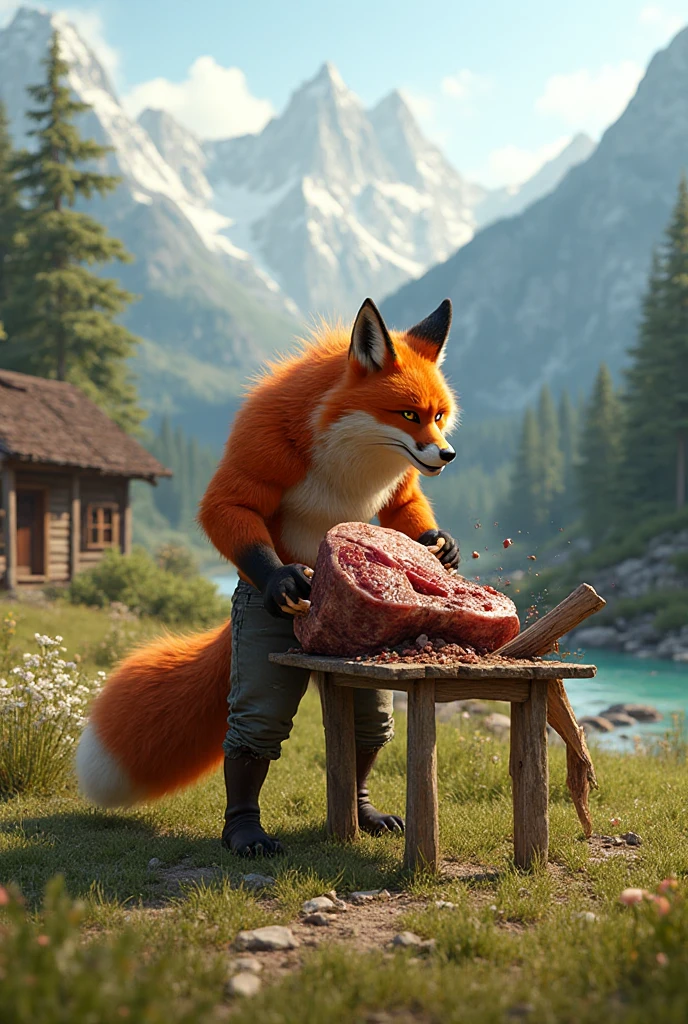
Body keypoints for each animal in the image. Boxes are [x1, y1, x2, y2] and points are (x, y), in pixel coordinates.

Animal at [76, 297, 461, 856]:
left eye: (439, 415)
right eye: (408, 414)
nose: (447, 454)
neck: (352, 462)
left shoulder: (400, 488)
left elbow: (405, 507)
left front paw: (441, 545)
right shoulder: (264, 444)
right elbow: (231, 503)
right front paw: (284, 580)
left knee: (368, 731)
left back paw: (363, 812)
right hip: (258, 644)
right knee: (253, 736)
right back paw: (245, 833)